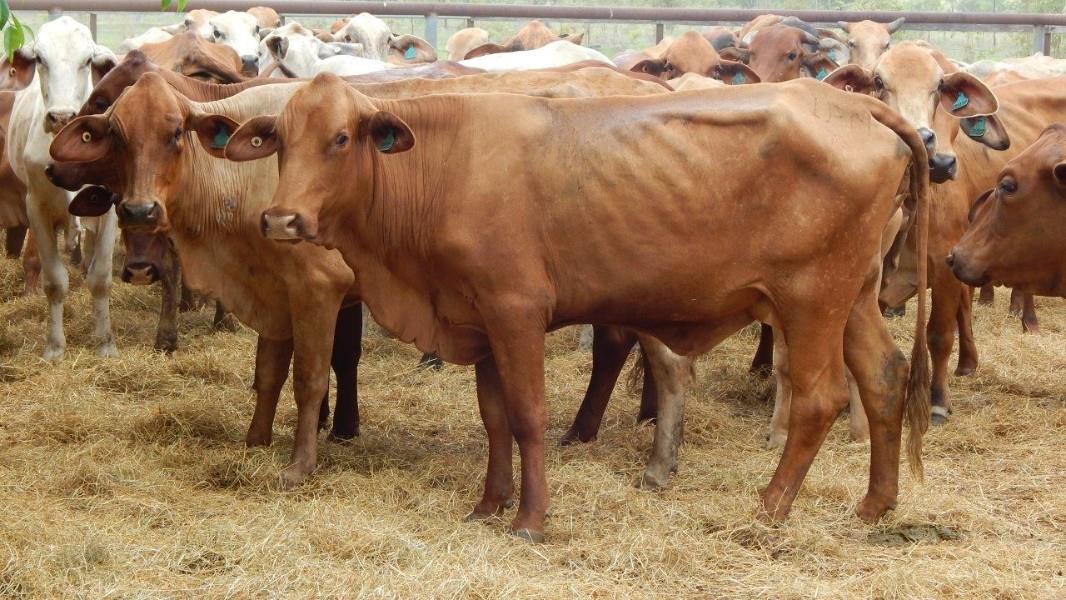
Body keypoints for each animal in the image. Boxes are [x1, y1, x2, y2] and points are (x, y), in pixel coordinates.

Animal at [6, 16, 118, 360]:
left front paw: (105, 342)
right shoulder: (38, 210)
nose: (61, 116)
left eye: (87, 61)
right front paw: (55, 346)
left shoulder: (109, 209)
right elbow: (54, 282)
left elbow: (101, 278)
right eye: (41, 59)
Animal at [235, 73, 931, 542]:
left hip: (811, 298)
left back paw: (768, 508)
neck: (445, 166)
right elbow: (494, 418)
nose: (281, 219)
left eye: (341, 138)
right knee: (884, 376)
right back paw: (875, 504)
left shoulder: (516, 310)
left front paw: (530, 518)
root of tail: (855, 103)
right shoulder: (477, 318)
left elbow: (527, 415)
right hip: (853, 295)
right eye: (280, 140)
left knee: (820, 397)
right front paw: (488, 505)